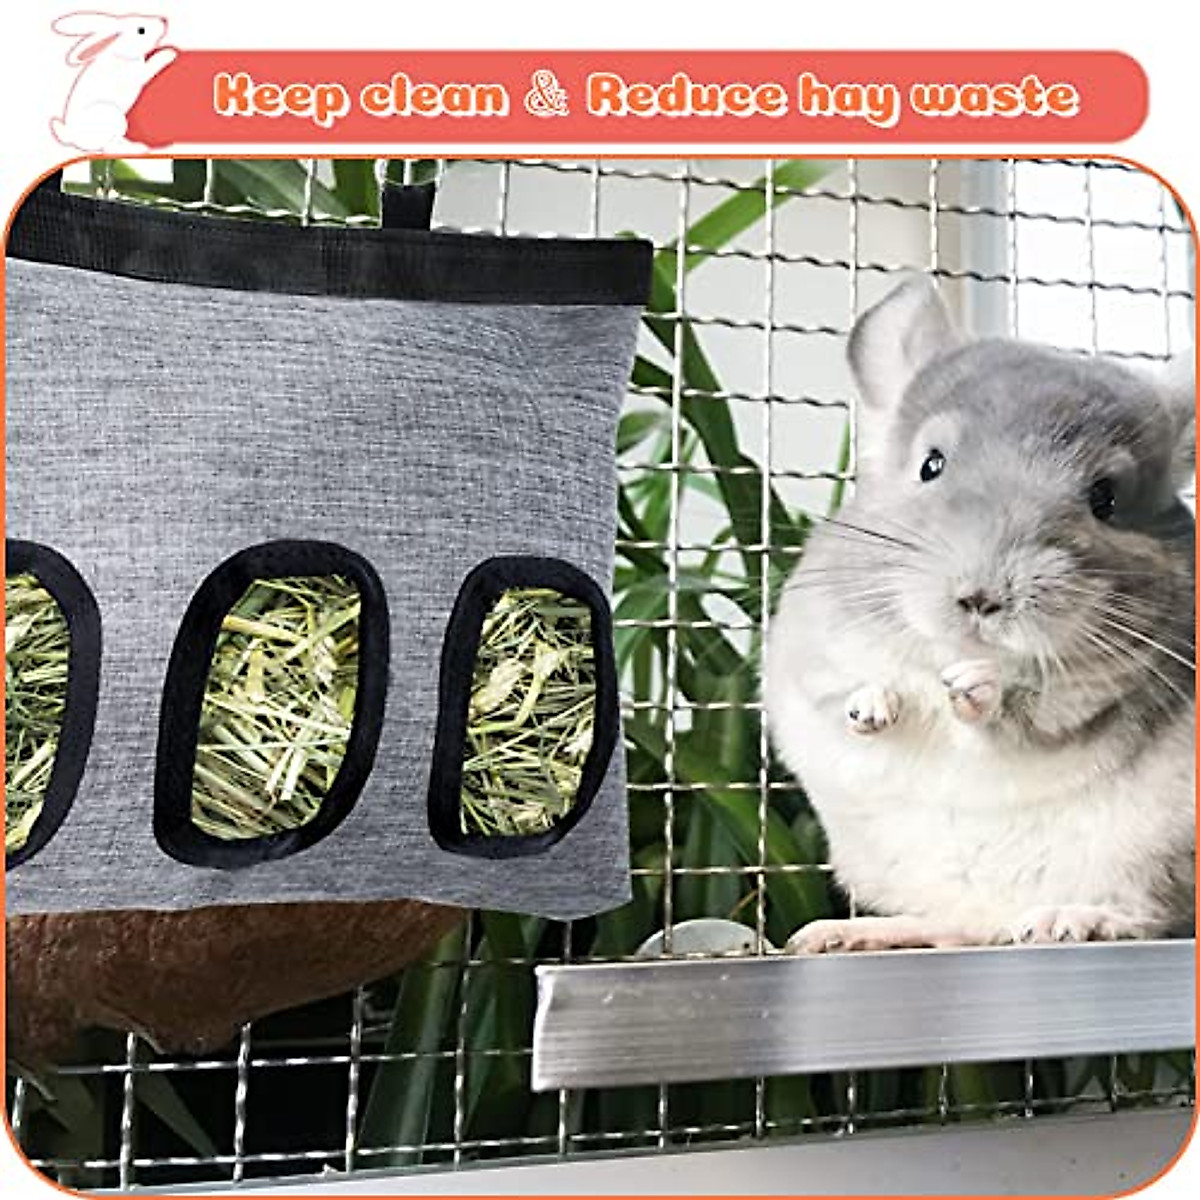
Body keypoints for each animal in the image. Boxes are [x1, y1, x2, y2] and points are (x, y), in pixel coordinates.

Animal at [50, 13, 177, 153]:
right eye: (141, 30)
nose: (164, 20)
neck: (119, 54)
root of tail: (72, 137)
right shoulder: (140, 73)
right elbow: (153, 64)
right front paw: (169, 52)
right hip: (114, 117)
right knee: (108, 148)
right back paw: (137, 148)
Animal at [764, 276, 1195, 953]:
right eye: (930, 464)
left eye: (1105, 499)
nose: (981, 597)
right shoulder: (814, 657)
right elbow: (847, 693)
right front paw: (875, 706)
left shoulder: (1082, 706)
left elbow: (1026, 716)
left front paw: (974, 686)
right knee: (956, 926)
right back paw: (849, 934)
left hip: (1153, 861)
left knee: (1146, 912)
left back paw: (1070, 920)